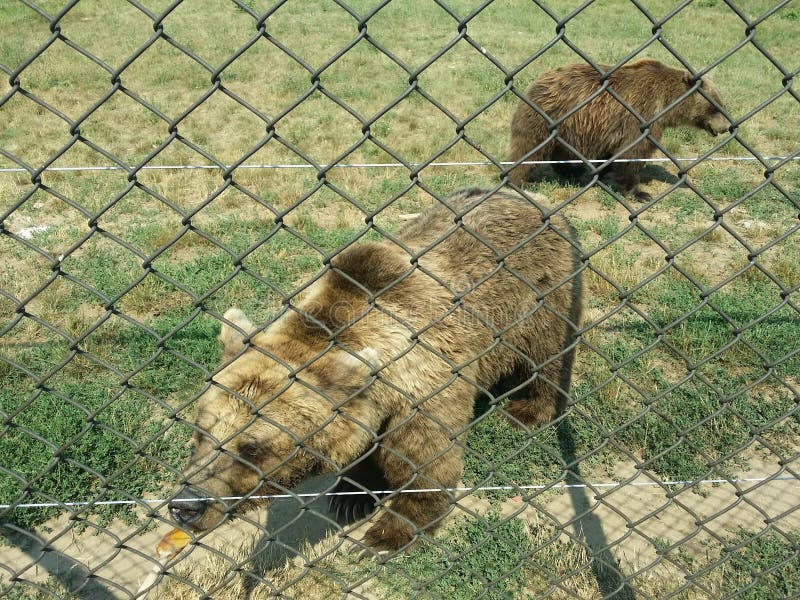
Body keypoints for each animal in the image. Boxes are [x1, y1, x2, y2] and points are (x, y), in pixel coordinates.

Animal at [169, 187, 584, 554]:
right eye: (200, 430)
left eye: (252, 447)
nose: (186, 505)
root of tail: (534, 200)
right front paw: (350, 495)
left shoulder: (425, 386)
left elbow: (426, 463)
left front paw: (386, 534)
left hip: (540, 292)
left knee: (548, 355)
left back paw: (531, 411)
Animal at [505, 58, 730, 201]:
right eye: (715, 107)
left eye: (722, 104)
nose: (726, 127)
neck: (667, 104)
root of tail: (536, 82)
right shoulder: (641, 117)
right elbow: (632, 153)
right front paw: (638, 192)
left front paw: (604, 170)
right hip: (548, 117)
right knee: (528, 148)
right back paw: (521, 181)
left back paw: (572, 172)